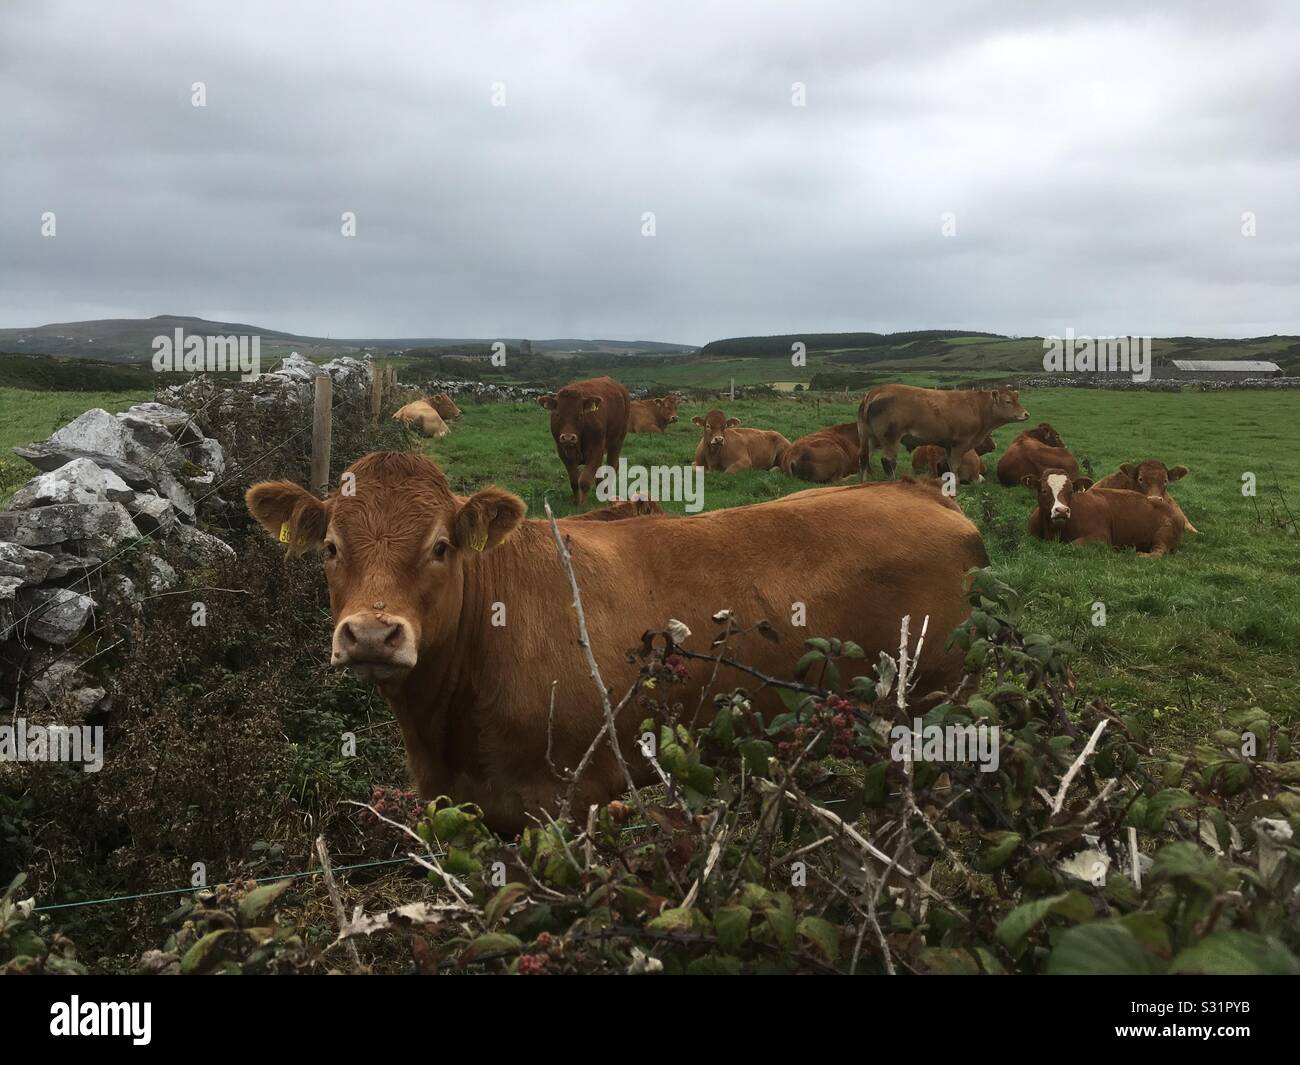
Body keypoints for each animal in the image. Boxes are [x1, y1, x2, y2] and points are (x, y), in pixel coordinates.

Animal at [246, 454, 986, 833]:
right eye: (330, 547)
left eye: (439, 546)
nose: (372, 633)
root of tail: (924, 493)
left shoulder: (571, 798)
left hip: (942, 709)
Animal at [539, 376, 630, 507]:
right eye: (557, 414)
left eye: (580, 414)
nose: (568, 437)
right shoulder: (563, 453)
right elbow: (574, 481)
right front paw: (576, 502)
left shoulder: (596, 450)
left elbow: (585, 481)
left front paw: (583, 505)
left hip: (617, 441)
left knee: (613, 465)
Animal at [859, 385, 1029, 480]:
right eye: (1008, 401)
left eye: (1017, 400)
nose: (1026, 414)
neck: (977, 408)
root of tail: (875, 391)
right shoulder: (960, 444)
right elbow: (955, 466)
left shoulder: (948, 445)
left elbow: (950, 465)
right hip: (890, 439)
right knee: (888, 462)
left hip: (868, 437)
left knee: (864, 458)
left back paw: (864, 481)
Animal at [1023, 468, 1184, 557]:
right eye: (1044, 490)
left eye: (1071, 491)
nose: (1061, 510)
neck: (1055, 531)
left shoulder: (1100, 538)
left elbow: (1073, 544)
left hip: (1164, 534)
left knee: (1158, 552)